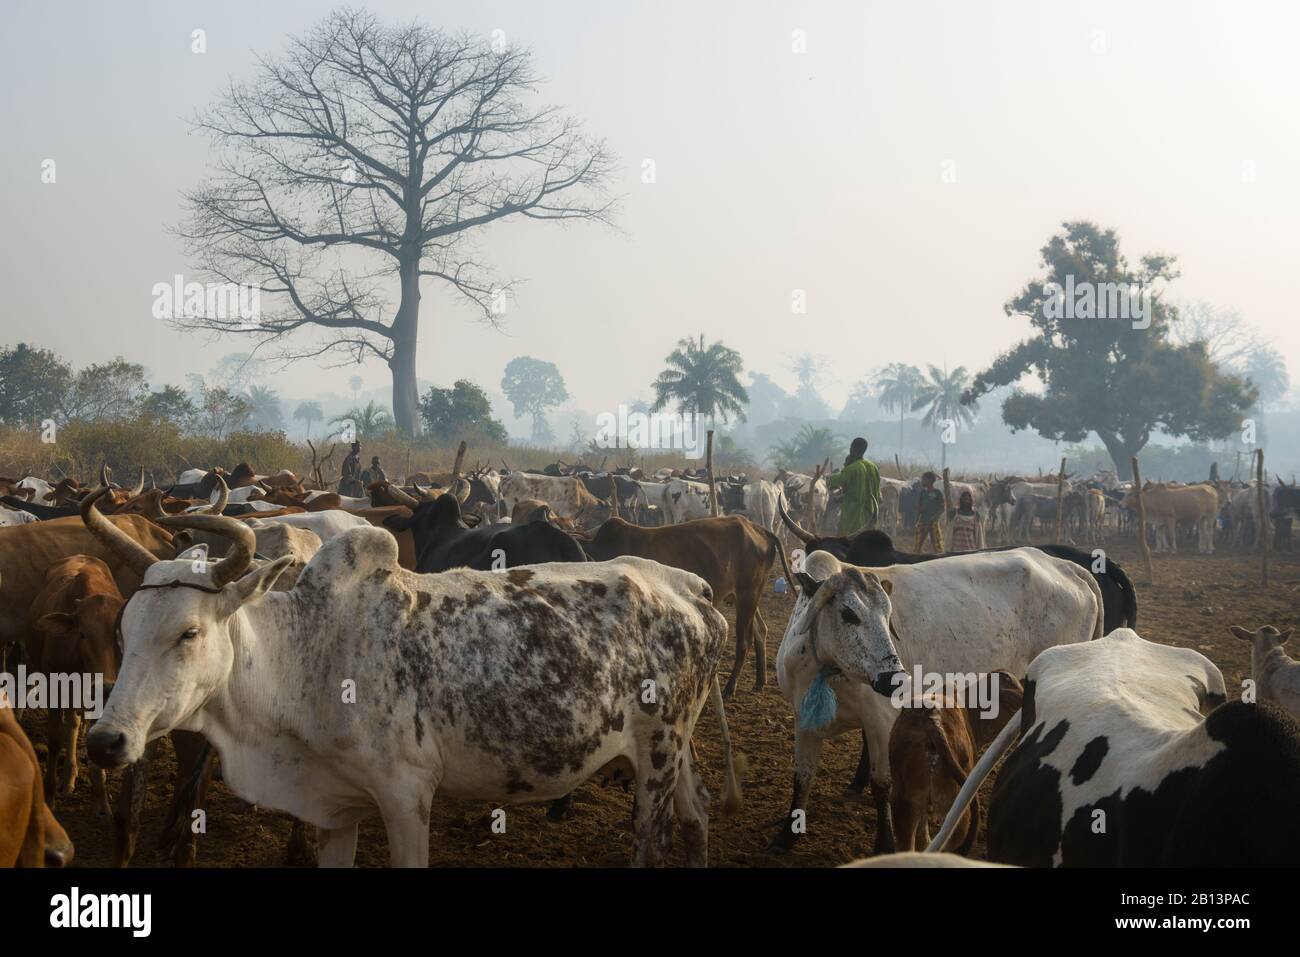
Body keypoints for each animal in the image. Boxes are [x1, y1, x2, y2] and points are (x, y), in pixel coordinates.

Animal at [25, 557, 124, 816]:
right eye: (82, 634)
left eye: (118, 635)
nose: (104, 686)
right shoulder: (54, 690)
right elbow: (54, 739)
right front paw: (49, 796)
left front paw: (100, 799)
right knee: (70, 723)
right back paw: (67, 778)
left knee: (74, 723)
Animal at [84, 512, 739, 867]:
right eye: (124, 630)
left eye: (188, 632)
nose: (104, 742)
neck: (309, 655)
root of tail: (688, 586)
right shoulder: (335, 808)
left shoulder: (406, 798)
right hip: (674, 750)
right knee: (699, 813)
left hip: (656, 755)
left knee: (652, 841)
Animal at [581, 515, 794, 698]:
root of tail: (757, 528)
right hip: (747, 596)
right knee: (761, 630)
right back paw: (759, 682)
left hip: (748, 594)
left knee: (744, 641)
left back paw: (730, 688)